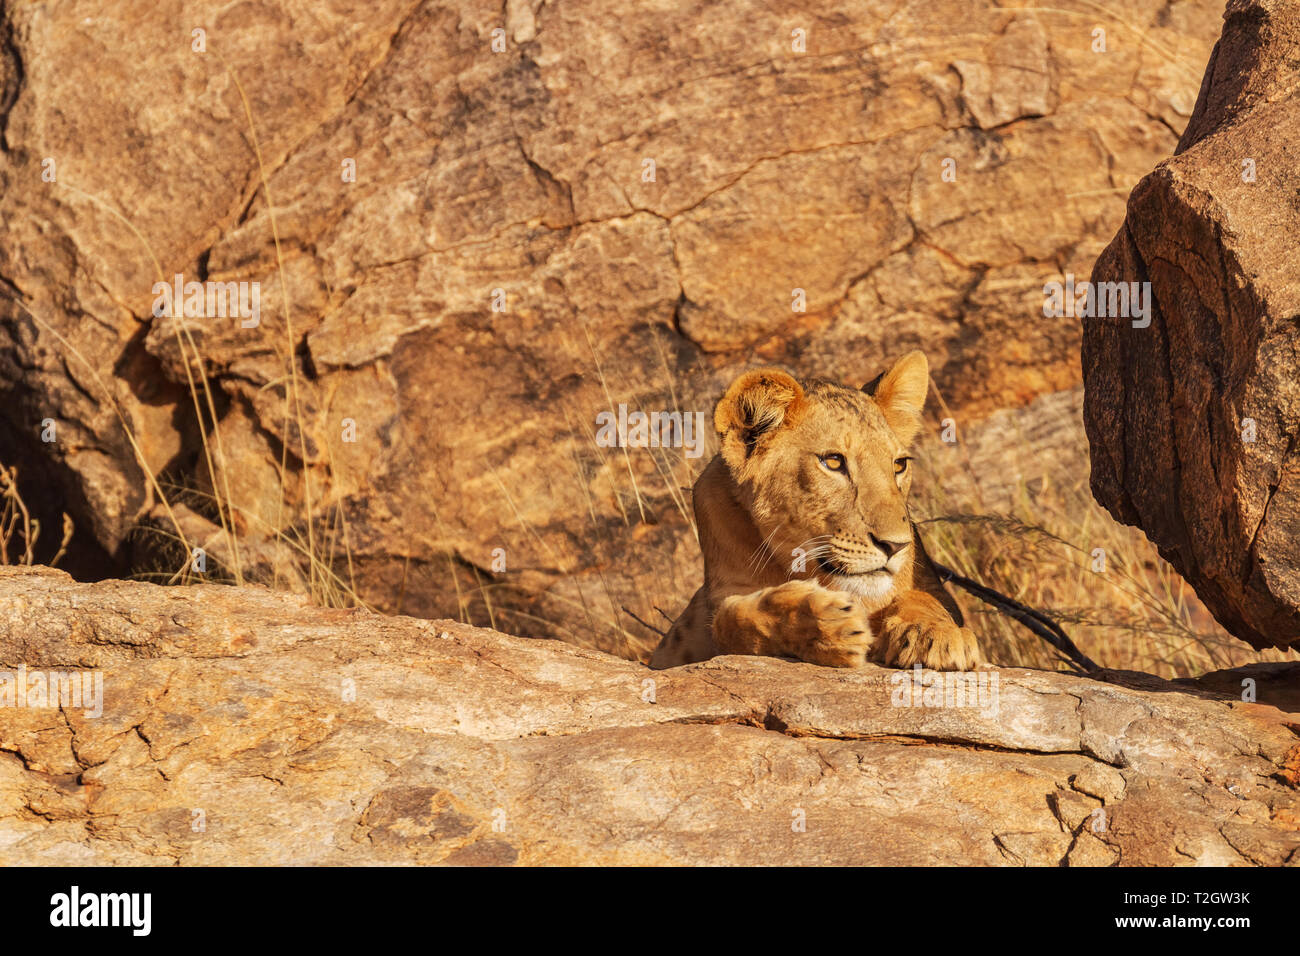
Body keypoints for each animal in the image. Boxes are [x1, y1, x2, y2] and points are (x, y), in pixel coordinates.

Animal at [649, 351, 983, 671]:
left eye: (899, 464)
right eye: (833, 462)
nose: (896, 546)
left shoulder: (925, 585)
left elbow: (923, 598)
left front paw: (934, 634)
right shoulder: (721, 597)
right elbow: (732, 621)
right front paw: (825, 624)